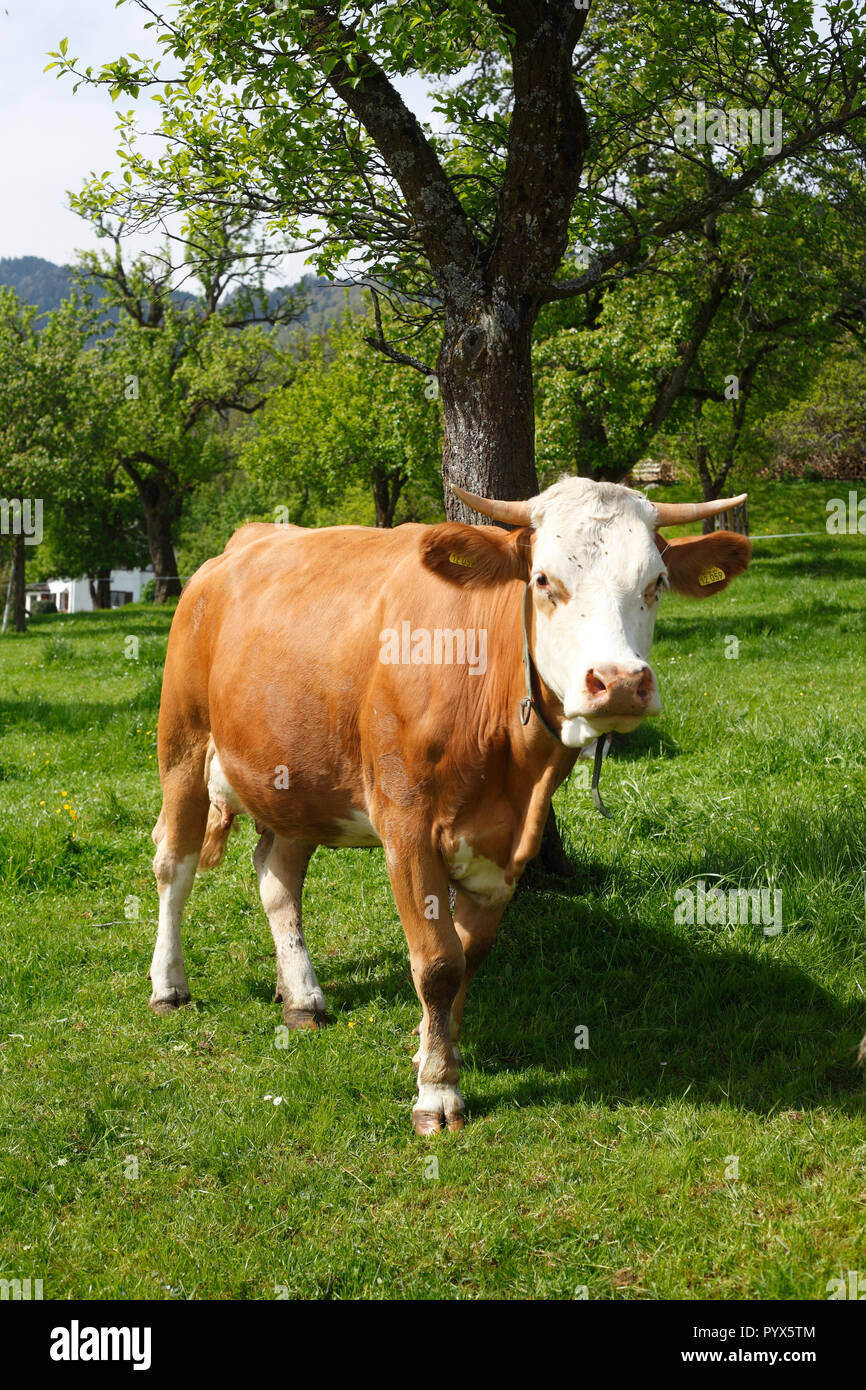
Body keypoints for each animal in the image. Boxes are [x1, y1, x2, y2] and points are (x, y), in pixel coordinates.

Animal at [149, 476, 751, 1132]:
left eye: (656, 583)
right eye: (544, 580)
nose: (619, 682)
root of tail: (243, 543)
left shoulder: (506, 849)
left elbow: (469, 955)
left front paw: (432, 1050)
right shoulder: (408, 829)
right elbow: (438, 964)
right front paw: (437, 1092)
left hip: (297, 776)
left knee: (277, 876)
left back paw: (303, 997)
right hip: (183, 743)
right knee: (173, 864)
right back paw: (169, 985)